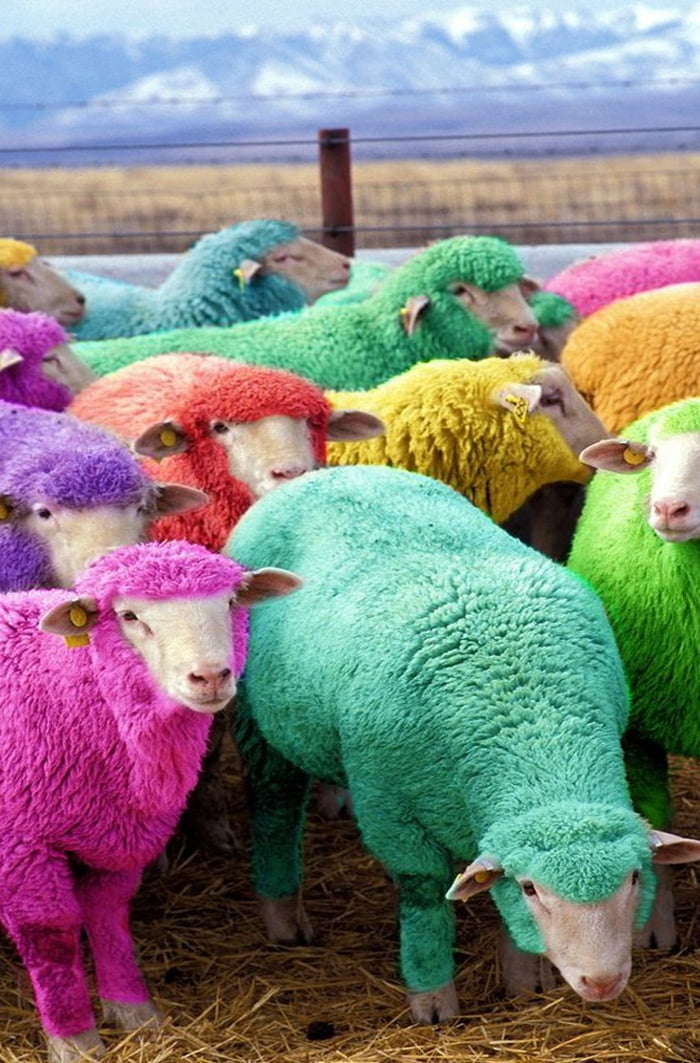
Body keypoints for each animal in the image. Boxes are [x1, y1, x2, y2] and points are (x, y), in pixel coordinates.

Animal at [0, 538, 300, 1062]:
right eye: (128, 615)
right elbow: (51, 934)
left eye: (230, 602)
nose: (210, 676)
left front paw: (135, 1014)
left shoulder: (119, 832)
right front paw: (75, 1039)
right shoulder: (21, 844)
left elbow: (108, 915)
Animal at [226, 463, 700, 1024]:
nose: (601, 981)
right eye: (532, 888)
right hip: (256, 720)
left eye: (632, 878)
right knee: (274, 806)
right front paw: (433, 1000)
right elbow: (424, 893)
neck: (531, 722)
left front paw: (524, 982)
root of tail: (332, 472)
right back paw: (283, 915)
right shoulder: (389, 806)